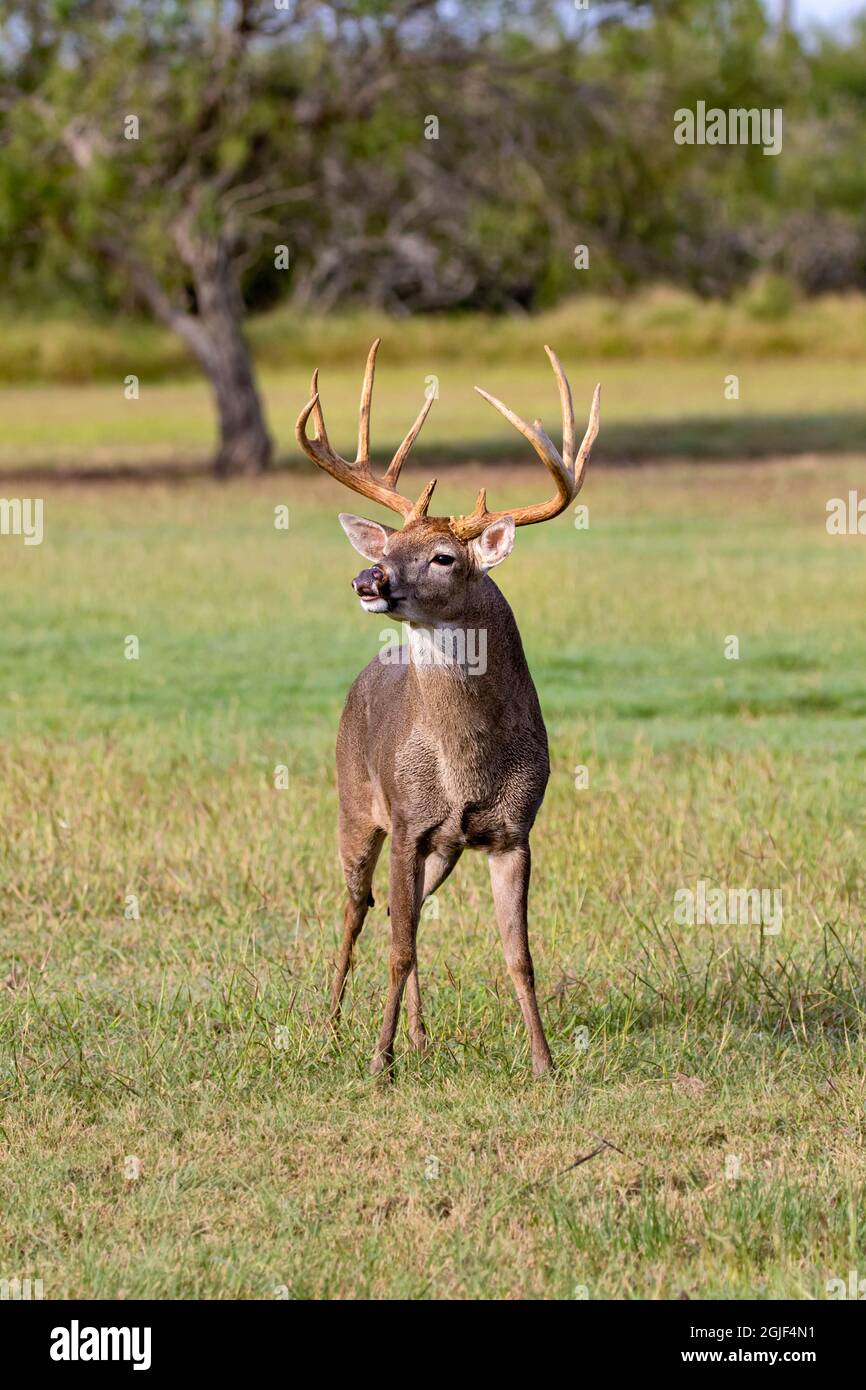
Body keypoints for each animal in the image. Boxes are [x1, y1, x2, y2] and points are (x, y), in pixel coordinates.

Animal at [296, 341, 600, 1077]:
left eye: (441, 556)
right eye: (388, 547)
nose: (367, 579)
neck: (466, 765)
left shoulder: (511, 831)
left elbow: (518, 956)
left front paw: (544, 1063)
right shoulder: (408, 821)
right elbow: (400, 947)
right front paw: (377, 1064)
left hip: (443, 848)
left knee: (394, 914)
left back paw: (420, 1036)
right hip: (355, 807)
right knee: (357, 908)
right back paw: (332, 1026)